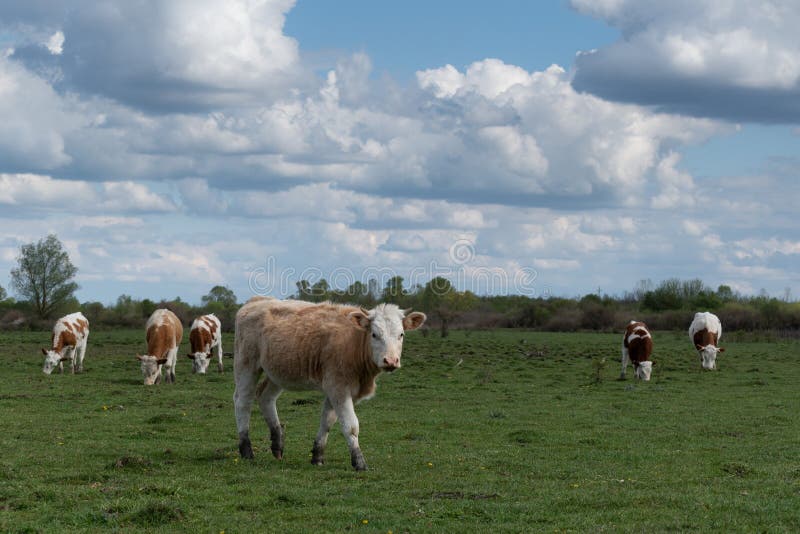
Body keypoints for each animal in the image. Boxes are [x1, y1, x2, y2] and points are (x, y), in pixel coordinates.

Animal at [233, 297, 426, 471]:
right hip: (246, 364)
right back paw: (246, 450)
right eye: (374, 334)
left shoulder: (337, 390)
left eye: (401, 334)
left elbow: (327, 421)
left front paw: (317, 456)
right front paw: (359, 463)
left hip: (277, 372)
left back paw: (277, 445)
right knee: (243, 402)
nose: (391, 361)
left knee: (265, 397)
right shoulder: (338, 387)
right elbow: (351, 426)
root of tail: (257, 300)